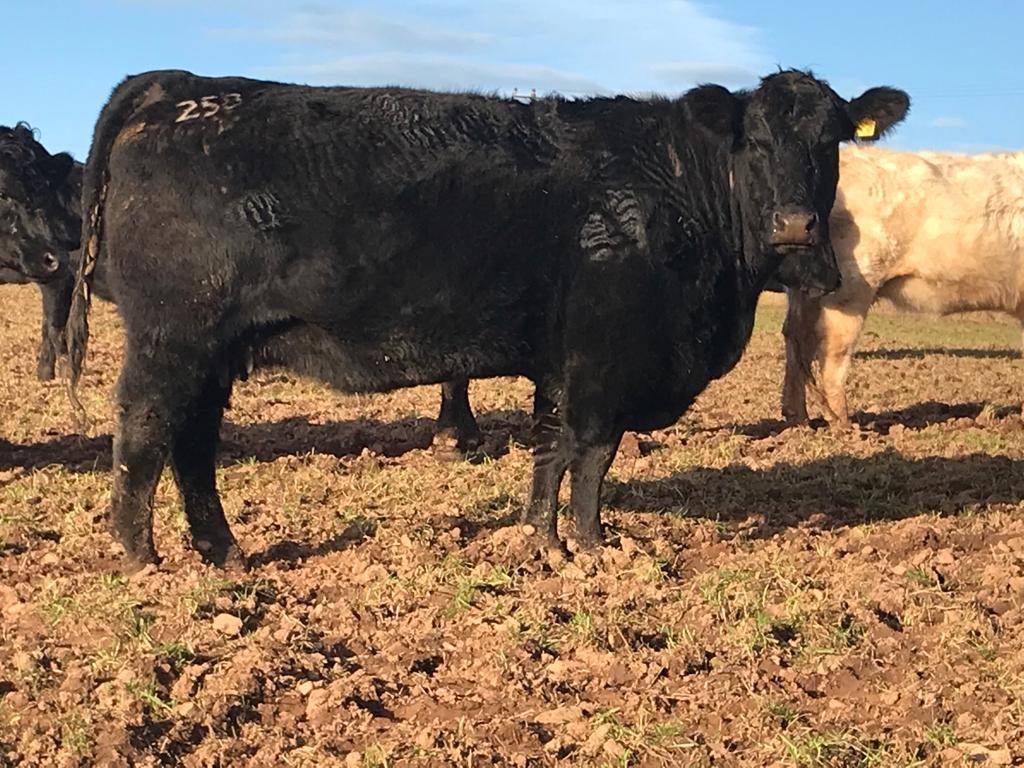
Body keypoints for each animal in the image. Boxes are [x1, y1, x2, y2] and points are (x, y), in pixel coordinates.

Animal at [62, 69, 908, 571]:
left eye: (831, 139)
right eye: (754, 139)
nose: (796, 225)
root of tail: (187, 88)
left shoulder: (561, 360)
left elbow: (550, 450)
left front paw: (541, 541)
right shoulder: (605, 355)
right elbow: (592, 454)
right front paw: (592, 549)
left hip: (214, 350)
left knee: (193, 446)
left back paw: (224, 552)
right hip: (173, 339)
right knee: (144, 435)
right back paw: (143, 560)